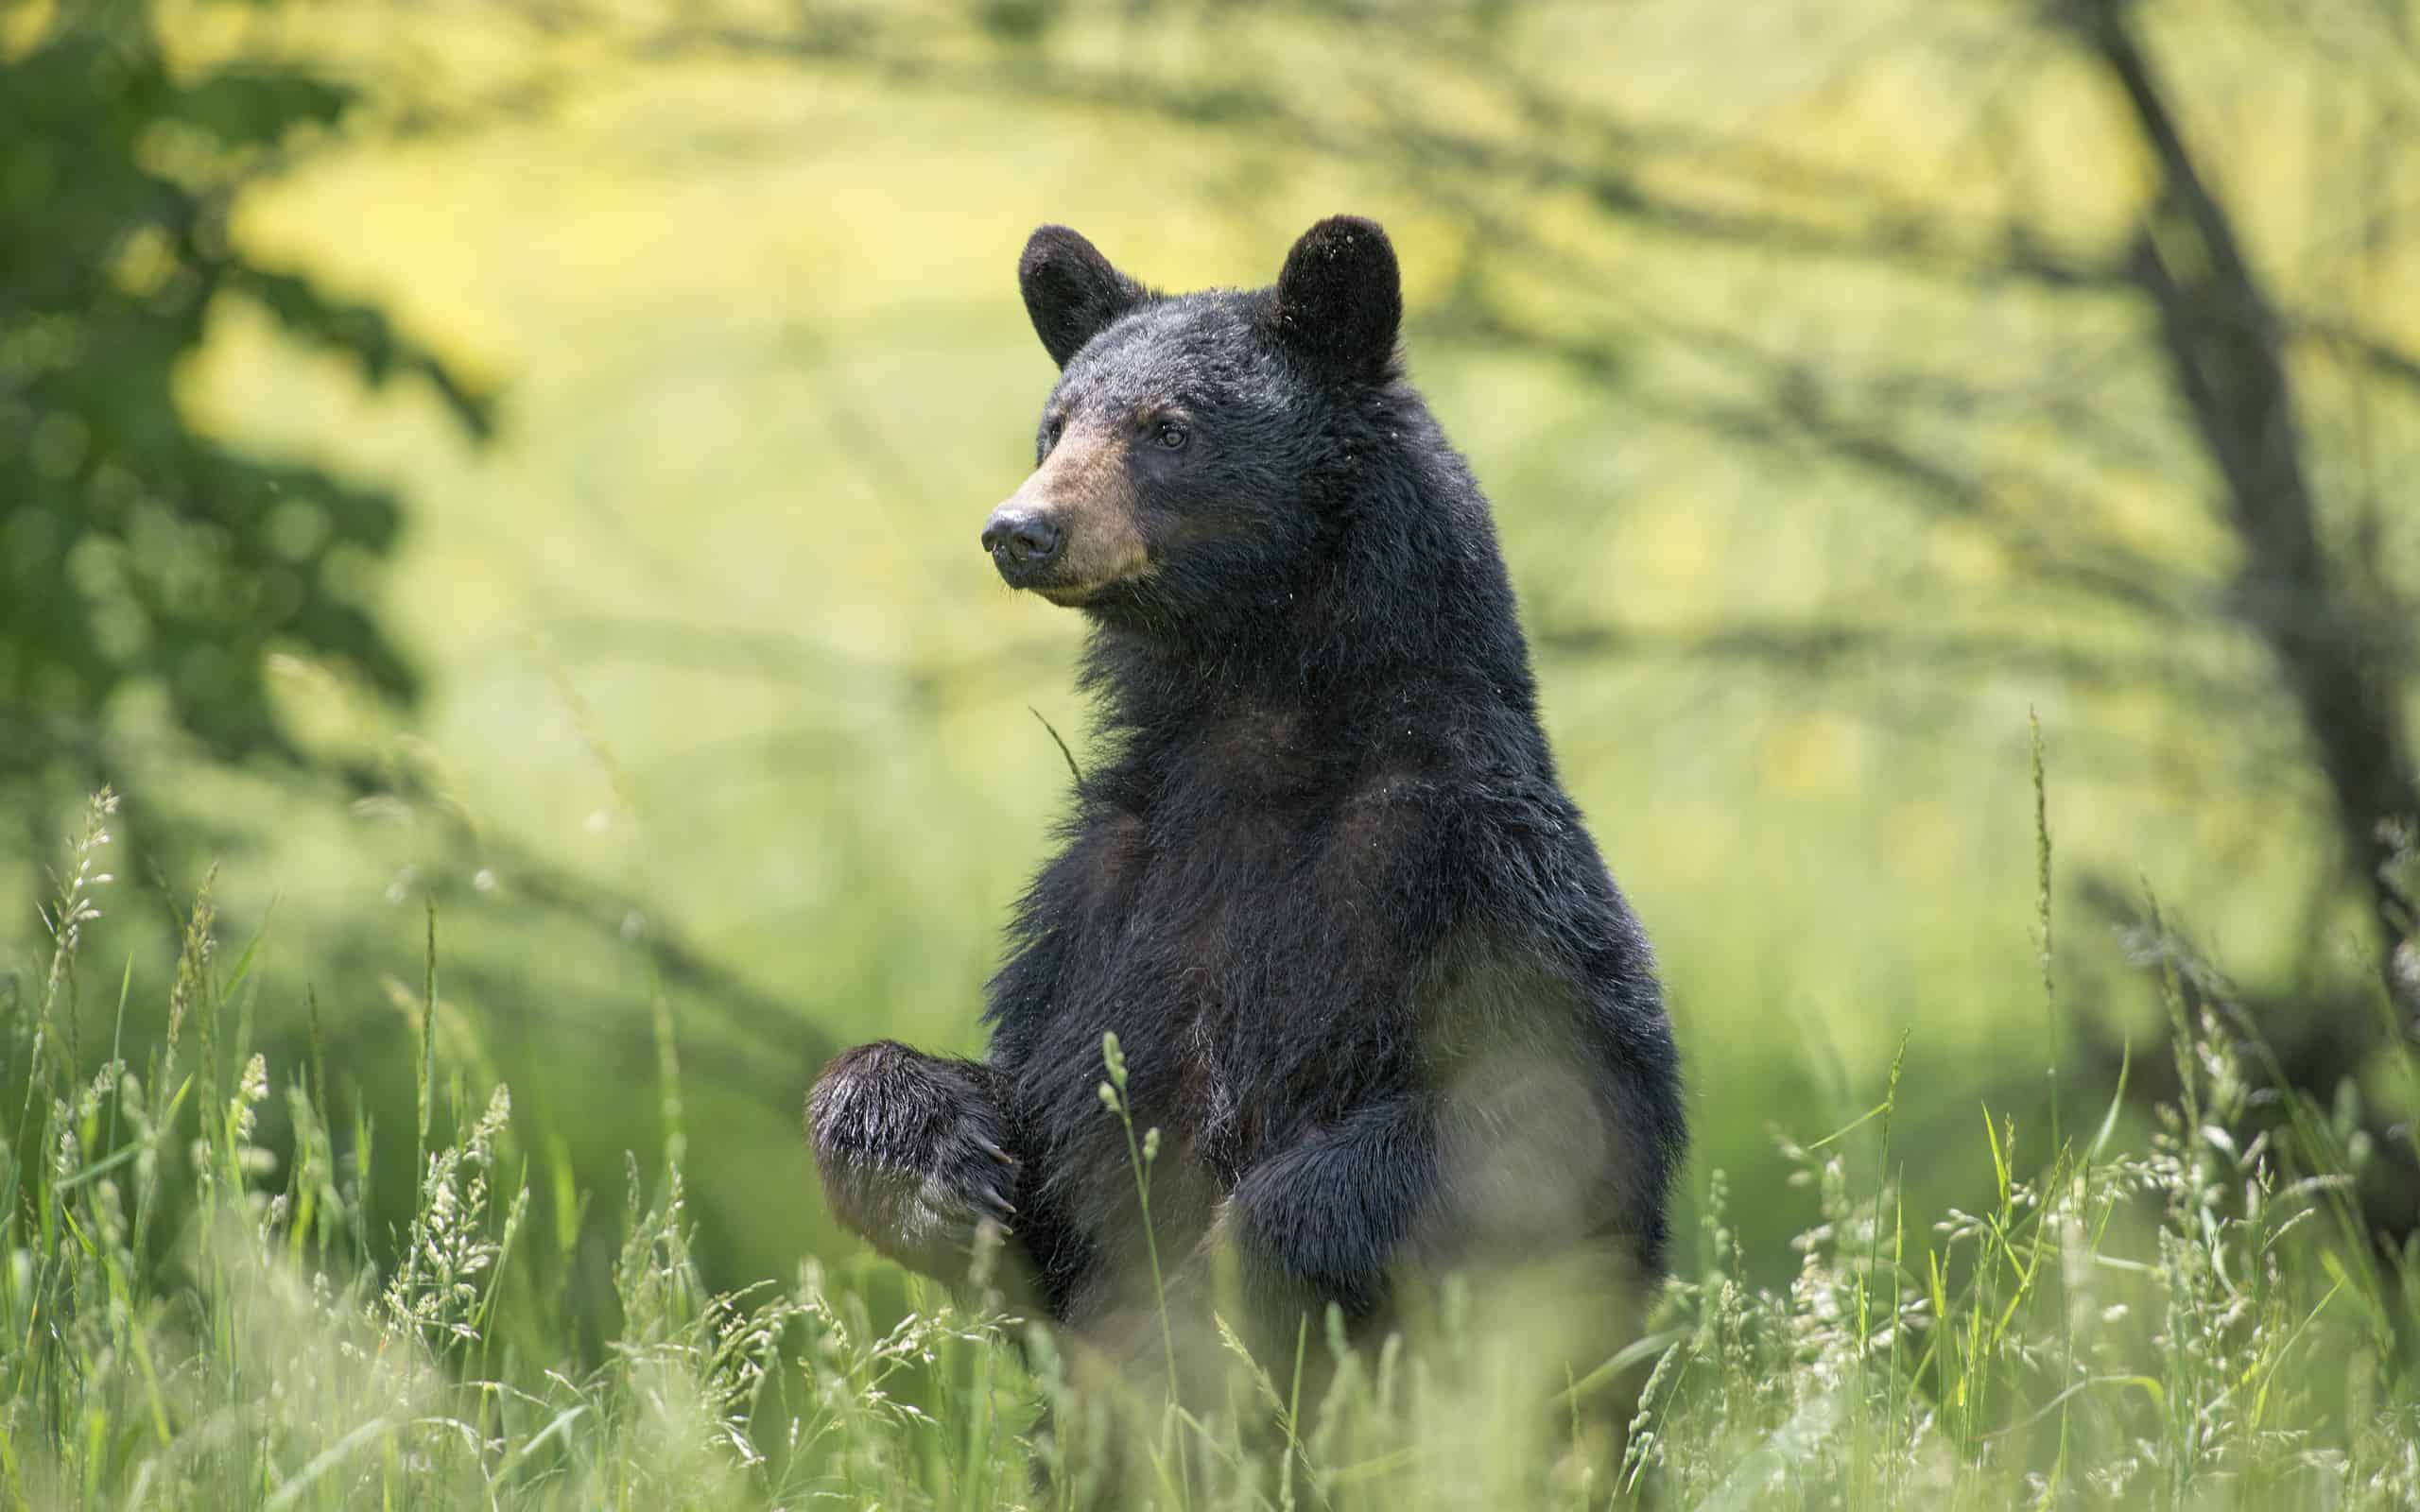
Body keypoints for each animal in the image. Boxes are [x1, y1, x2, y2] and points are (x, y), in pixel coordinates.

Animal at [807, 215, 1685, 1425]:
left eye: (1167, 427)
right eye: (1054, 422)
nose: (1019, 529)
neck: (1252, 740)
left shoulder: (1470, 862)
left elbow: (1551, 1104)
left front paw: (1236, 1272)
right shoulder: (1098, 899)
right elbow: (1047, 1105)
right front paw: (934, 1167)